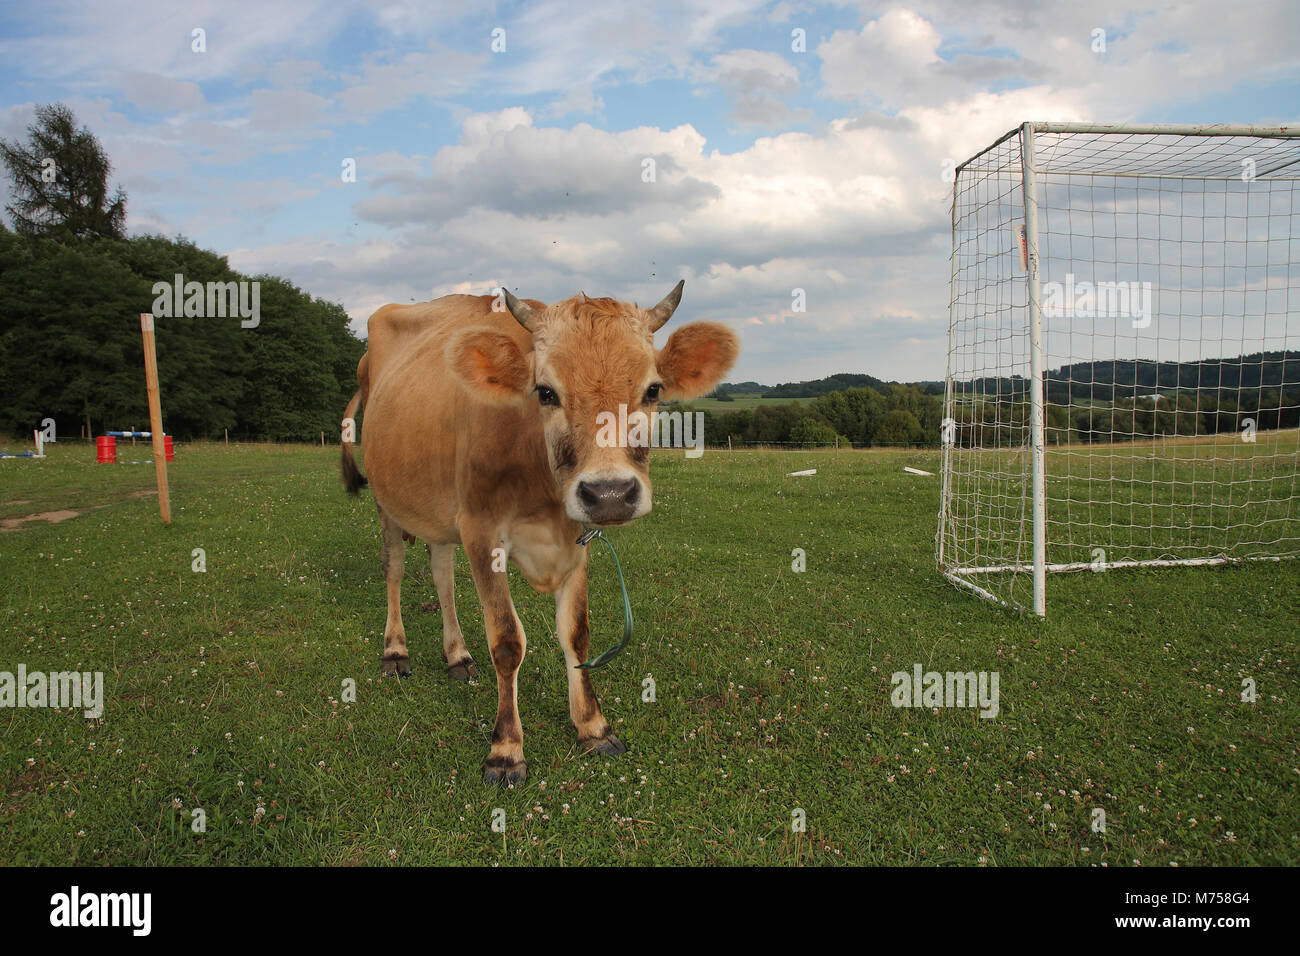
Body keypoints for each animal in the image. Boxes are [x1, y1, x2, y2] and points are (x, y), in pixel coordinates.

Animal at [340, 282, 738, 784]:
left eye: (652, 390)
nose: (610, 493)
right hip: (388, 500)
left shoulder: (577, 536)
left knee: (441, 574)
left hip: (441, 511)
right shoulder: (481, 531)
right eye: (545, 392)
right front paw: (506, 748)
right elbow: (508, 641)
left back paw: (457, 655)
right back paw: (395, 651)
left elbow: (577, 633)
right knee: (393, 567)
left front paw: (592, 726)